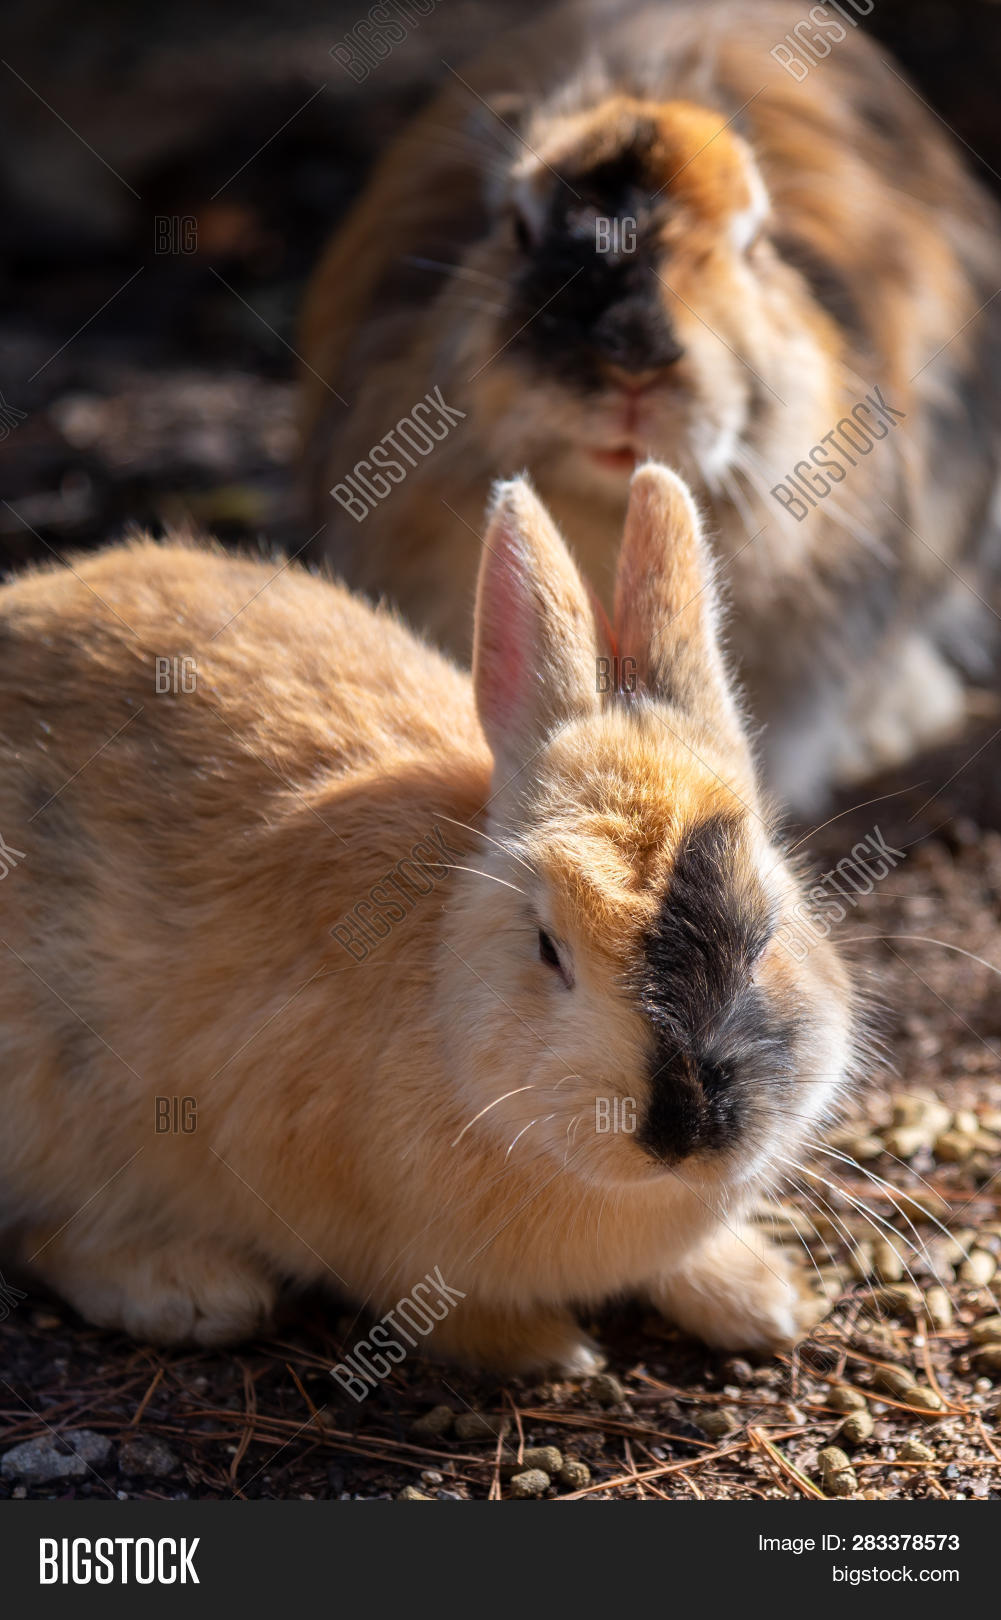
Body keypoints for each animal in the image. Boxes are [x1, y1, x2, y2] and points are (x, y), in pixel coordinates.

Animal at [0, 463, 856, 1373]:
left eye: (764, 936)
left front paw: (765, 1300)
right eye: (546, 947)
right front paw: (551, 1349)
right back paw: (189, 1291)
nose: (683, 1128)